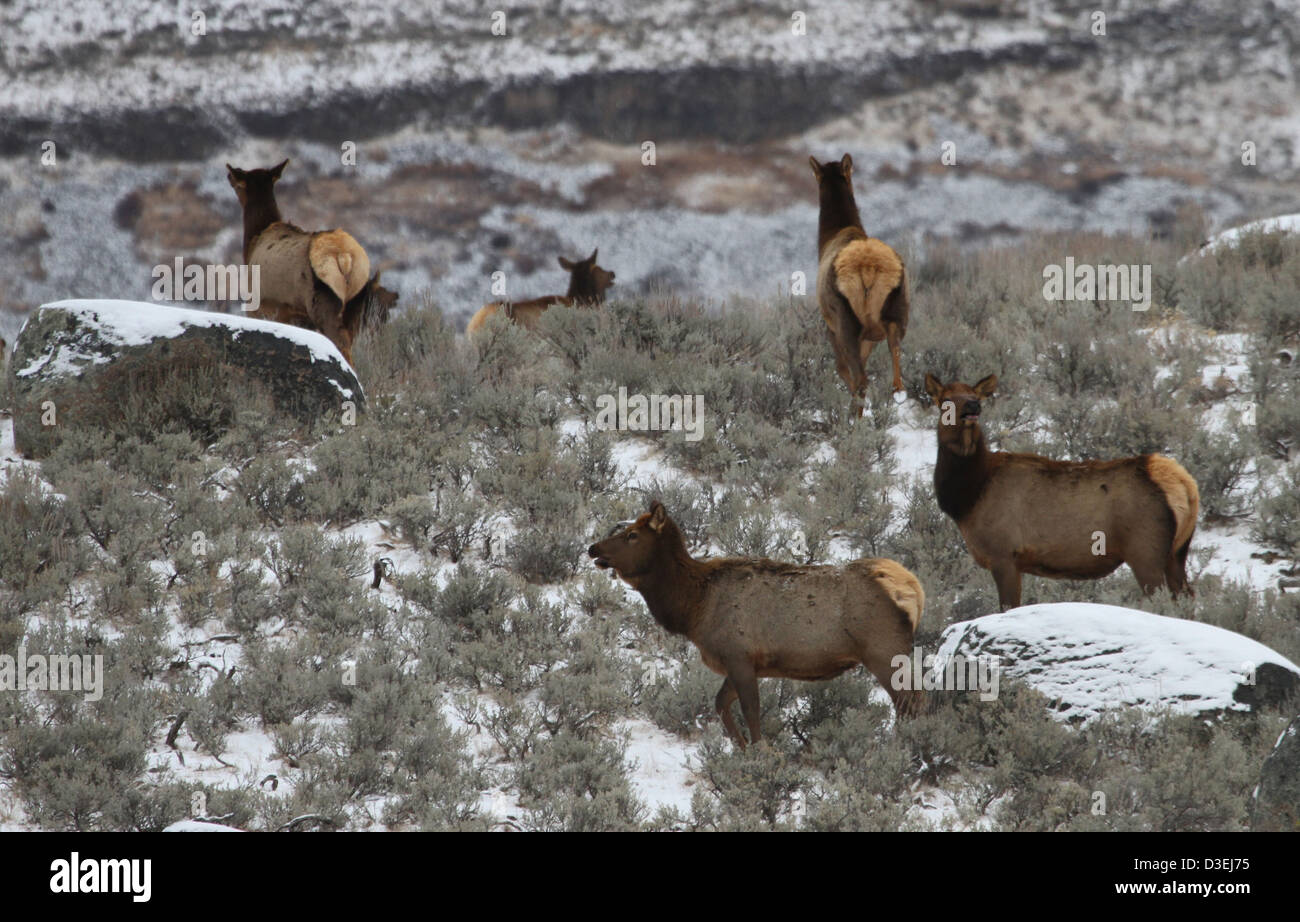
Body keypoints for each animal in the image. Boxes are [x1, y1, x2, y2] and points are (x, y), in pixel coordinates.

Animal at [226, 159, 376, 366]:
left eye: (240, 180)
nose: (229, 175)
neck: (253, 241)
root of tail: (344, 257)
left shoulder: (258, 306)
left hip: (322, 302)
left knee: (341, 343)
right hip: (357, 302)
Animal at [587, 501, 925, 748]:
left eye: (632, 535)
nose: (593, 548)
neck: (695, 609)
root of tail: (911, 588)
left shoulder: (739, 655)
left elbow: (751, 712)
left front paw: (760, 751)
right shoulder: (740, 662)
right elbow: (720, 704)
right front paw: (741, 747)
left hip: (883, 651)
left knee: (908, 704)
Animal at [810, 153, 910, 417]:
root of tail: (868, 268)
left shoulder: (831, 326)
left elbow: (841, 368)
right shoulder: (870, 336)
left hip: (845, 319)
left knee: (859, 378)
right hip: (897, 308)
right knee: (894, 350)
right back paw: (897, 391)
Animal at [924, 373, 1200, 611]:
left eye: (975, 395)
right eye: (945, 399)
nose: (973, 405)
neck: (968, 497)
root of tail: (1184, 483)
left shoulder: (1004, 554)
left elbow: (1008, 607)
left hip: (1146, 549)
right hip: (1177, 551)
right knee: (1187, 597)